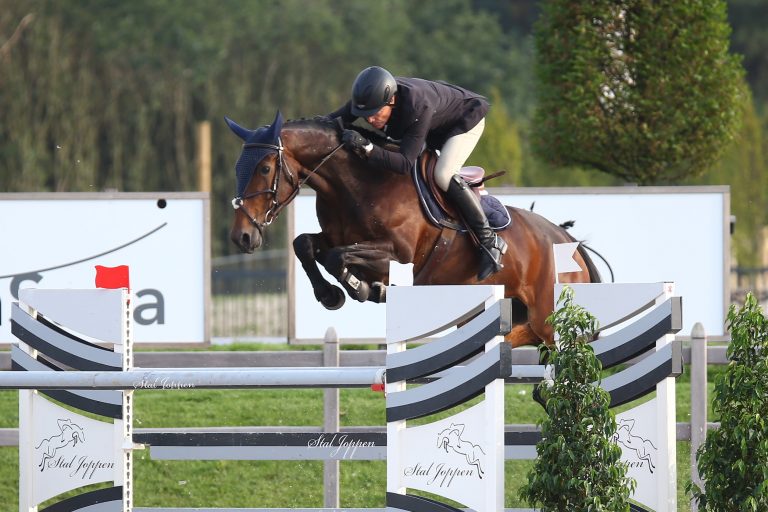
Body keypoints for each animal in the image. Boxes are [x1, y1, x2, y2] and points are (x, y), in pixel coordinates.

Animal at [226, 110, 600, 347]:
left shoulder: (398, 255)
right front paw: (331, 295)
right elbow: (304, 244)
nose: (241, 237)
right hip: (517, 320)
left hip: (549, 320)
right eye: (237, 167)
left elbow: (337, 257)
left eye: (264, 168)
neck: (357, 185)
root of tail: (568, 240)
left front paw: (364, 288)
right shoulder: (334, 237)